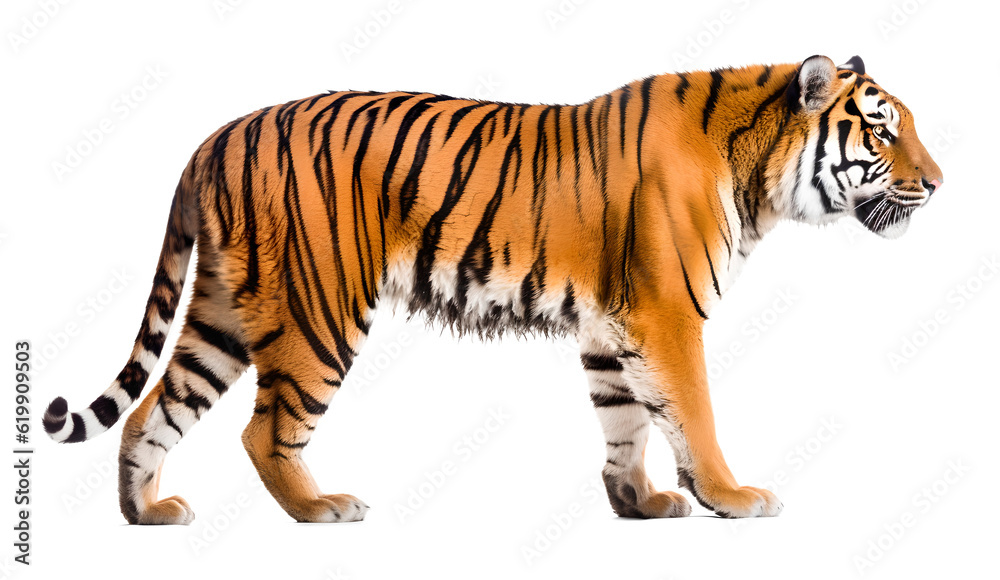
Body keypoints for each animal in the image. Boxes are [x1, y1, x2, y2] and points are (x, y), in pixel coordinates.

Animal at [43, 54, 942, 524]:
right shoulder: (666, 315)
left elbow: (624, 421)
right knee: (264, 431)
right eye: (881, 130)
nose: (938, 182)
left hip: (225, 313)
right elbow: (693, 413)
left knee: (155, 410)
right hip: (317, 311)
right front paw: (730, 494)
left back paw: (146, 513)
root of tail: (216, 136)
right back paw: (320, 508)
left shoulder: (611, 328)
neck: (757, 169)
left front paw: (639, 501)